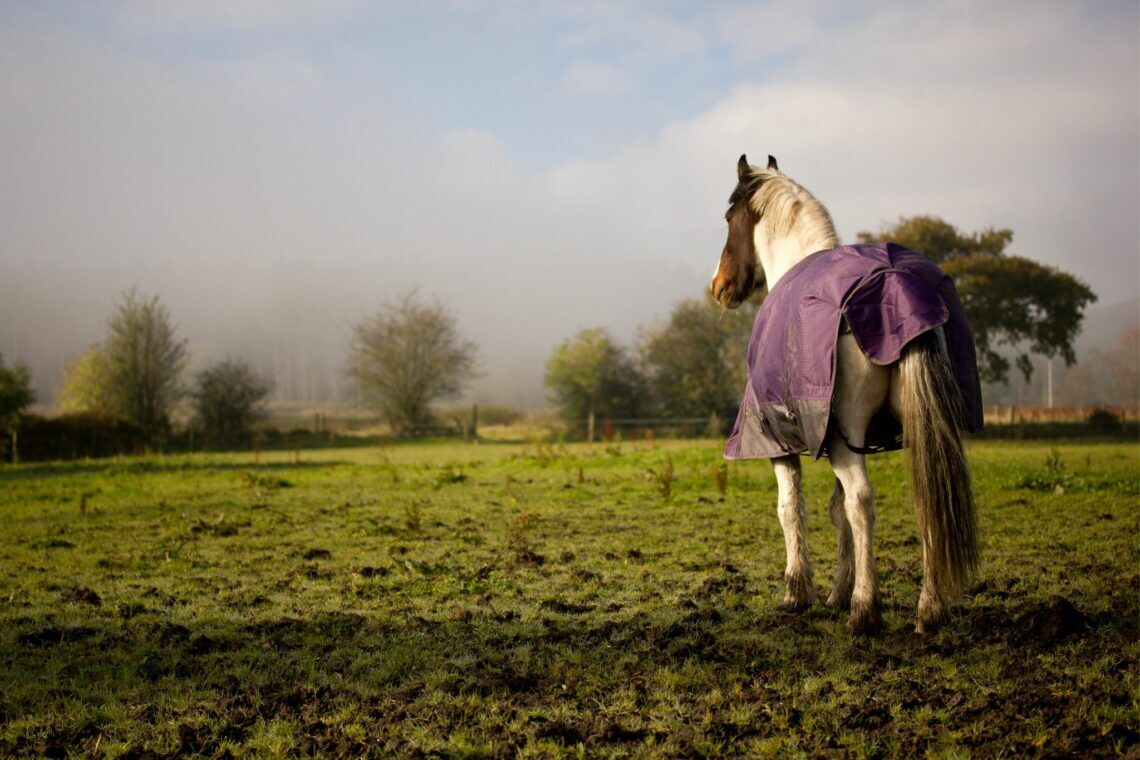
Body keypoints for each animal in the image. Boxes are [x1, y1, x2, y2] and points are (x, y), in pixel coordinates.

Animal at [710, 154, 981, 635]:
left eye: (728, 218)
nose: (718, 286)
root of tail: (898, 288)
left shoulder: (783, 441)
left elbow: (792, 508)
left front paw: (798, 592)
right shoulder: (841, 440)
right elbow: (835, 511)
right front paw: (836, 591)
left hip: (844, 433)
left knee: (862, 502)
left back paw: (865, 609)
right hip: (915, 429)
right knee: (927, 499)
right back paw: (928, 608)